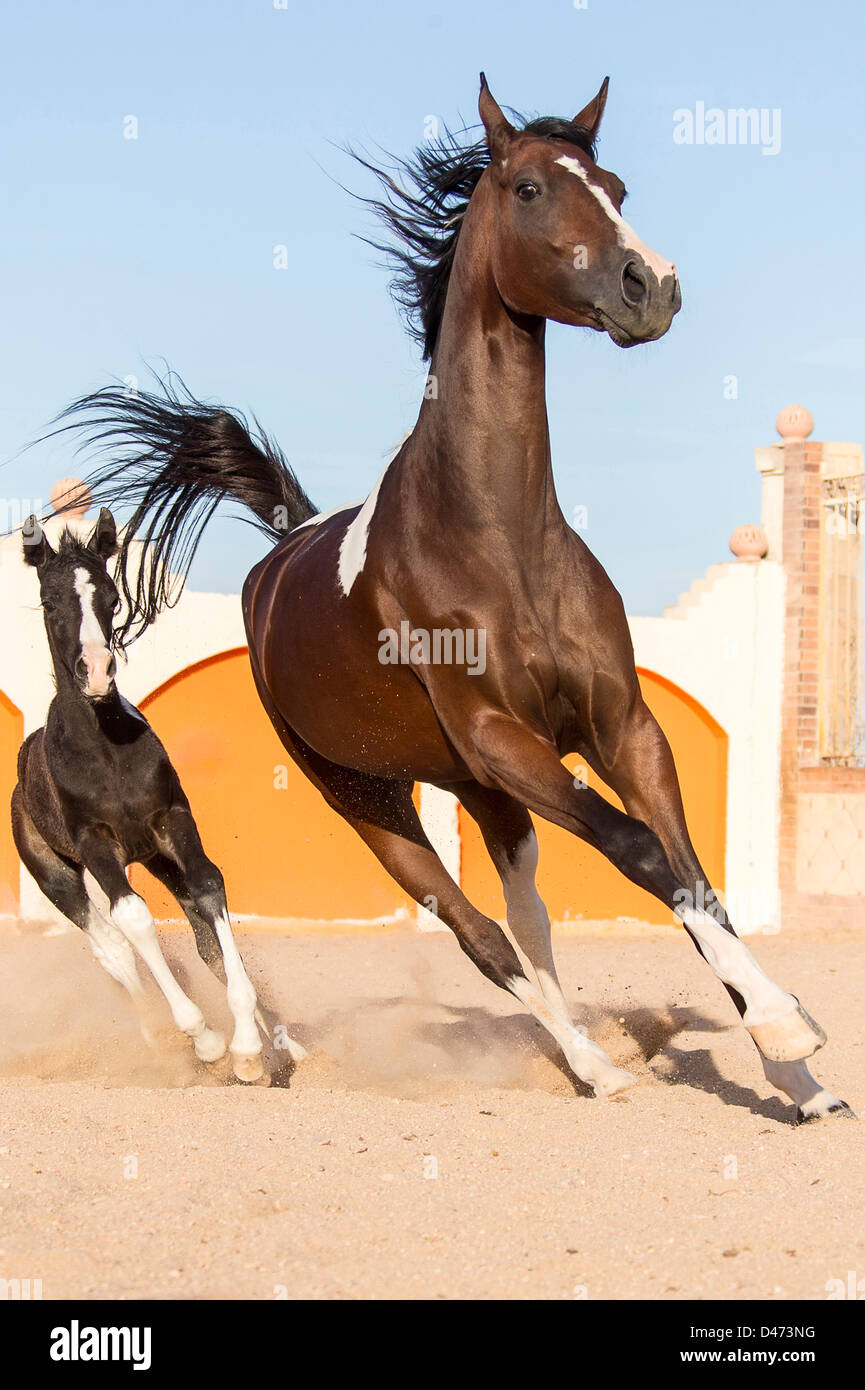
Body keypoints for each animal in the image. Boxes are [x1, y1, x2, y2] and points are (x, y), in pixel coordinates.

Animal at [11, 509, 304, 1081]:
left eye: (111, 597)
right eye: (50, 600)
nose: (97, 672)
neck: (104, 749)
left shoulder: (172, 821)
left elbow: (210, 892)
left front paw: (251, 1052)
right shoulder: (95, 843)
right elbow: (133, 918)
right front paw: (205, 1041)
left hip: (157, 857)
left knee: (200, 936)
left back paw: (281, 1046)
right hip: (55, 874)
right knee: (110, 945)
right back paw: (159, 1038)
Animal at [49, 76, 850, 1123]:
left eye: (615, 186)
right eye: (526, 188)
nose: (652, 285)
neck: (496, 535)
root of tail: (281, 552)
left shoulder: (619, 727)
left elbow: (690, 873)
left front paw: (797, 1075)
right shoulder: (501, 739)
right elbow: (638, 853)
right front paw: (788, 1029)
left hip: (483, 793)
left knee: (526, 922)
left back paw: (591, 1060)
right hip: (378, 805)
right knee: (481, 934)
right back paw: (589, 1068)